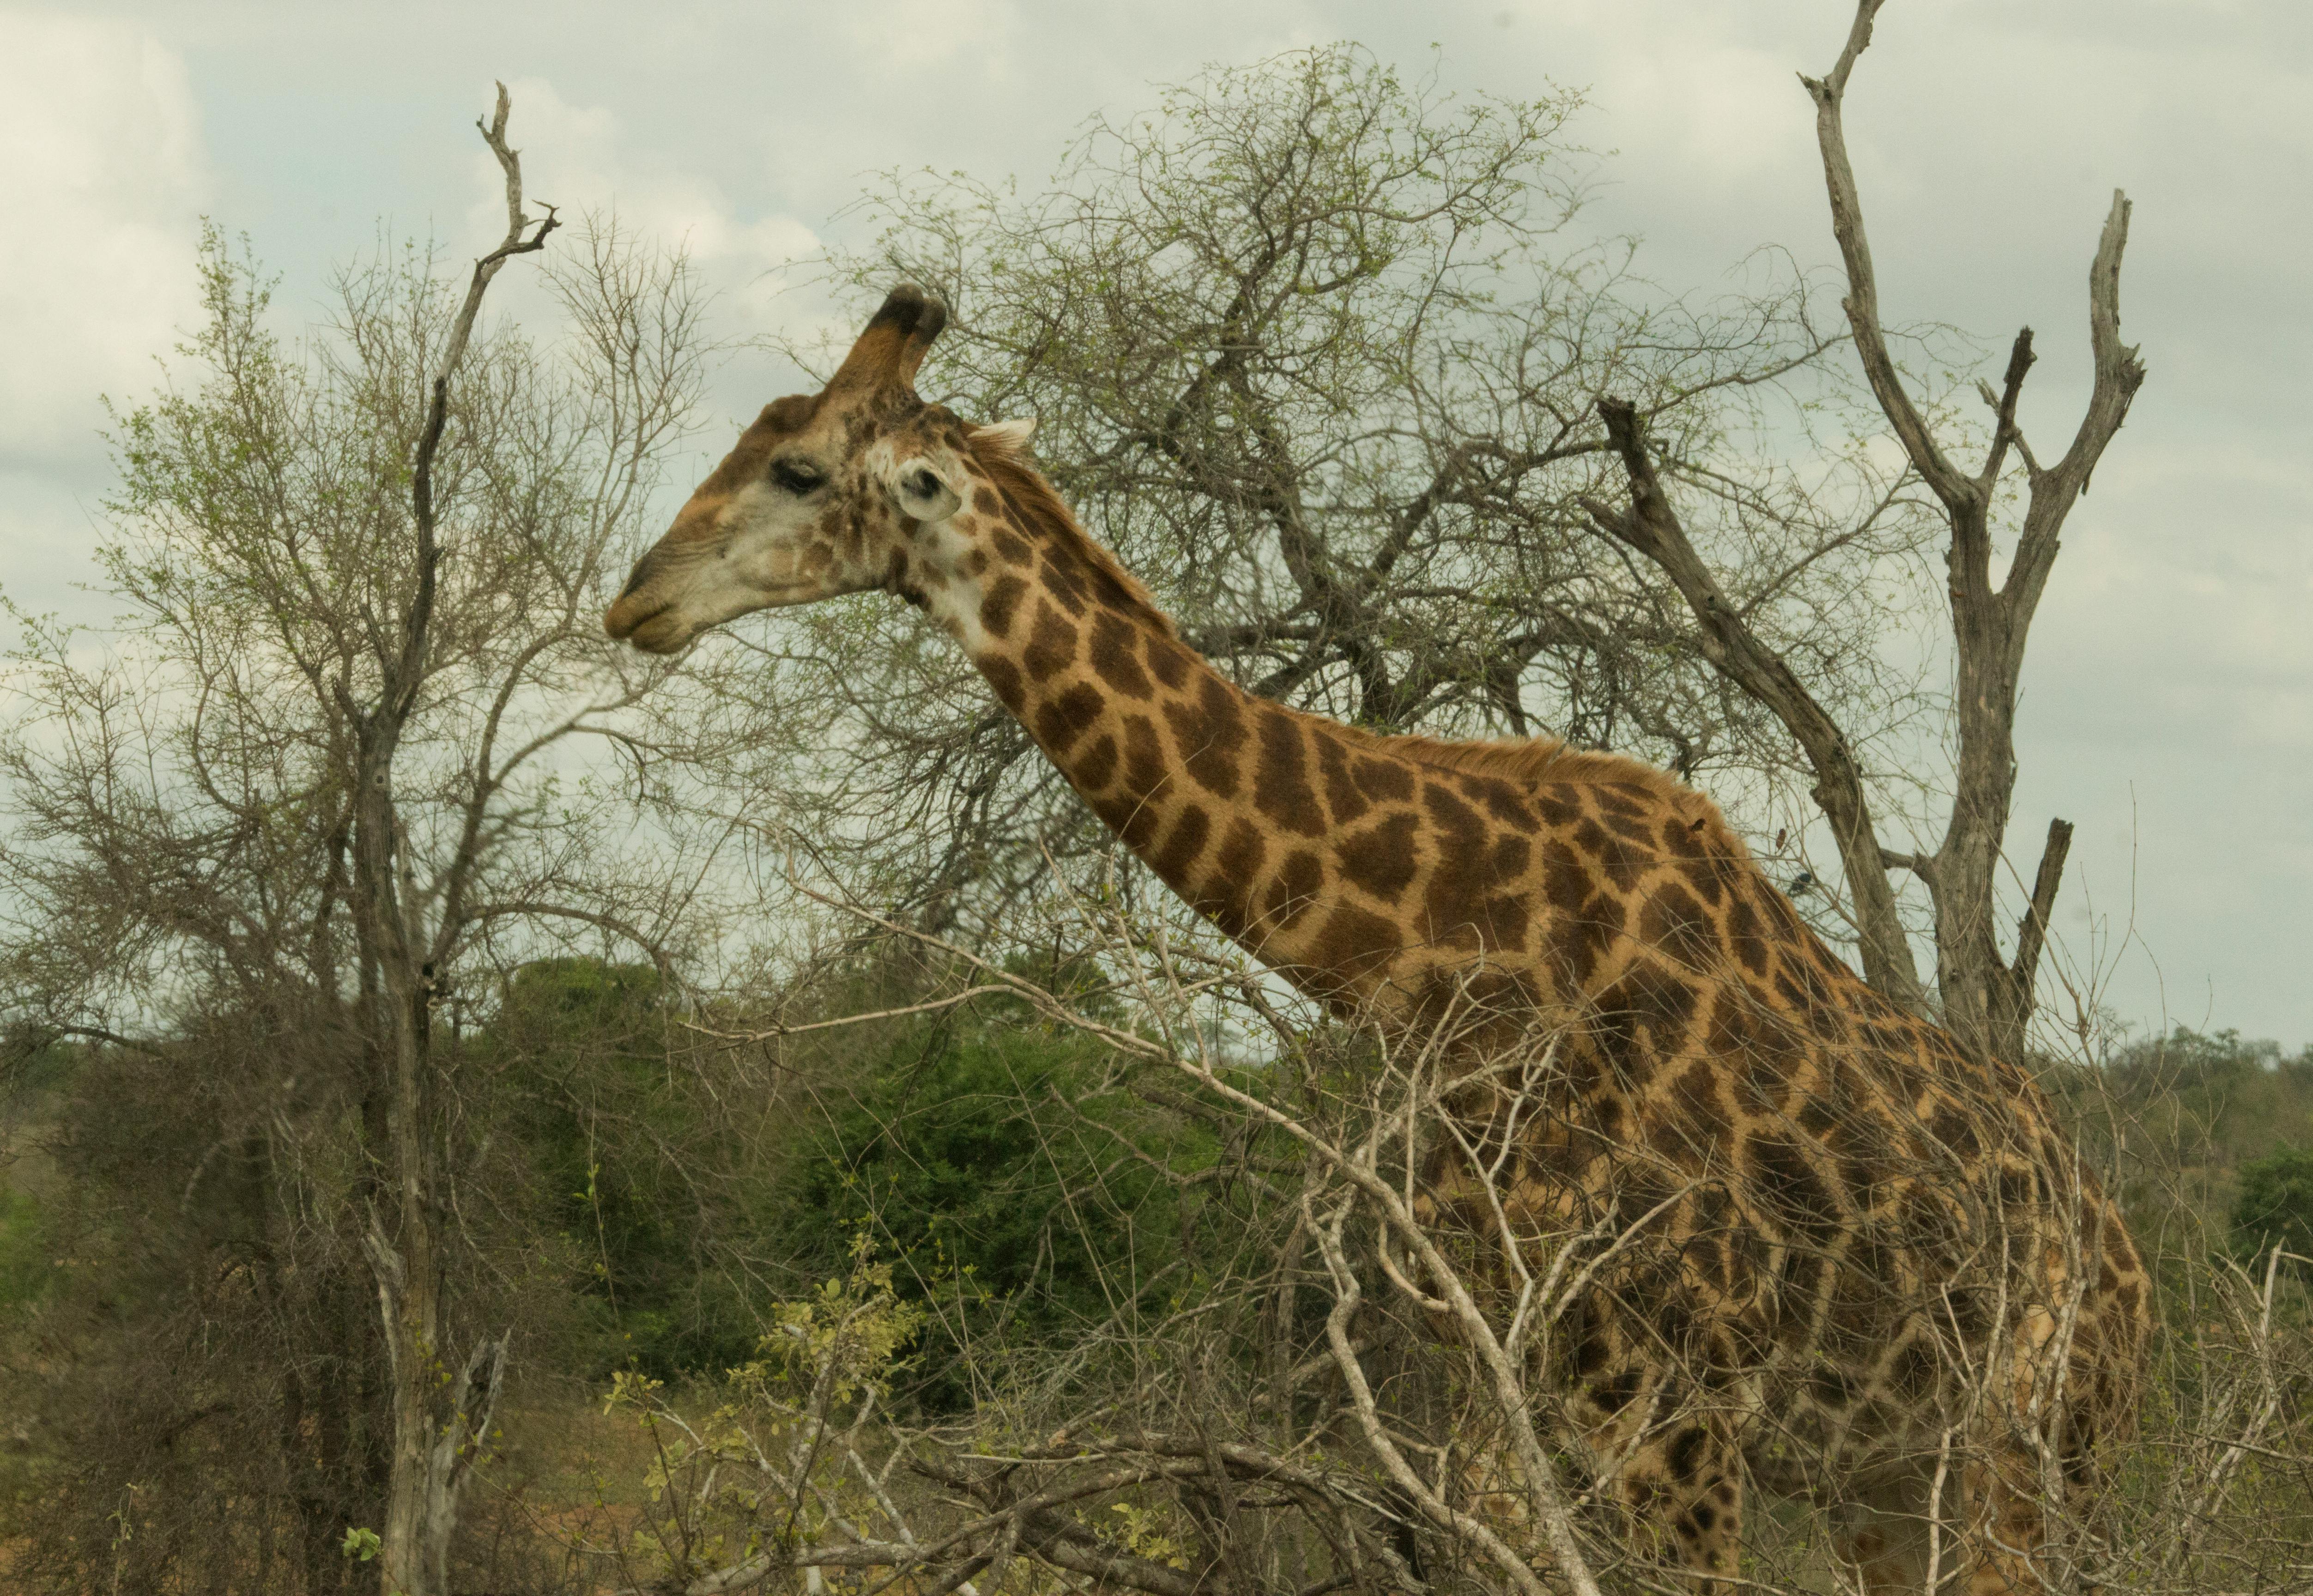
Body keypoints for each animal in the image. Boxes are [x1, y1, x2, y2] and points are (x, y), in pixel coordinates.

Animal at [606, 286, 2151, 1593]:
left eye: (802, 471)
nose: (637, 597)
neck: (1442, 965)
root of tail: (2125, 1252)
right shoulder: (1495, 1383)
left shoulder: (1679, 1417)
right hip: (1885, 1477)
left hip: (2039, 1455)